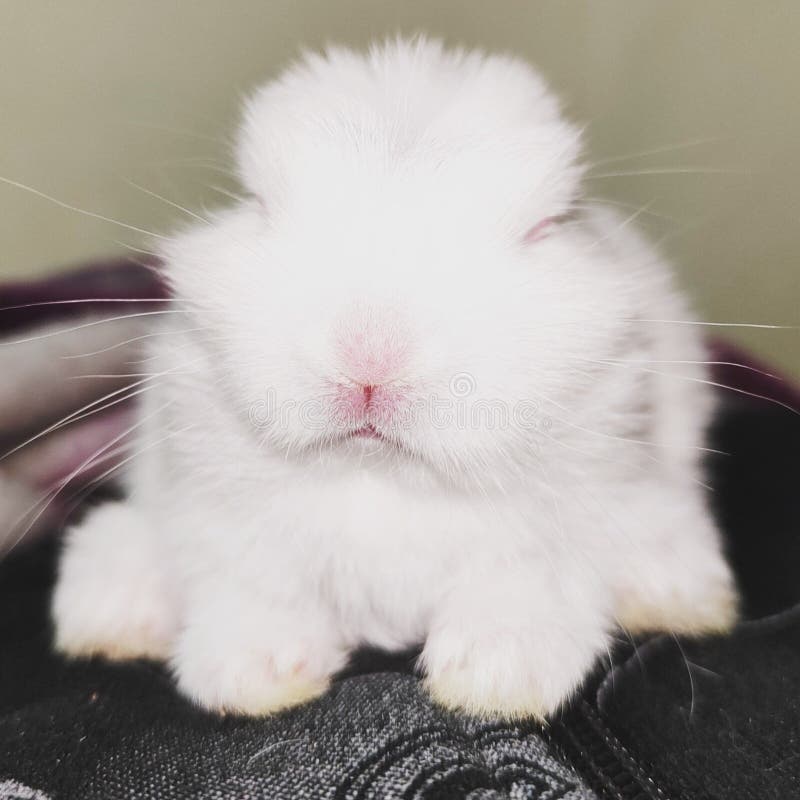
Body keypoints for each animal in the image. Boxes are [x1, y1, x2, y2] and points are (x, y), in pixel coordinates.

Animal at [51, 37, 737, 719]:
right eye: (257, 203)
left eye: (543, 228)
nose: (369, 356)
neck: (380, 476)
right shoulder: (223, 522)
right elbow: (258, 589)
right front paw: (255, 679)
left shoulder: (563, 522)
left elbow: (521, 585)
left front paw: (492, 681)